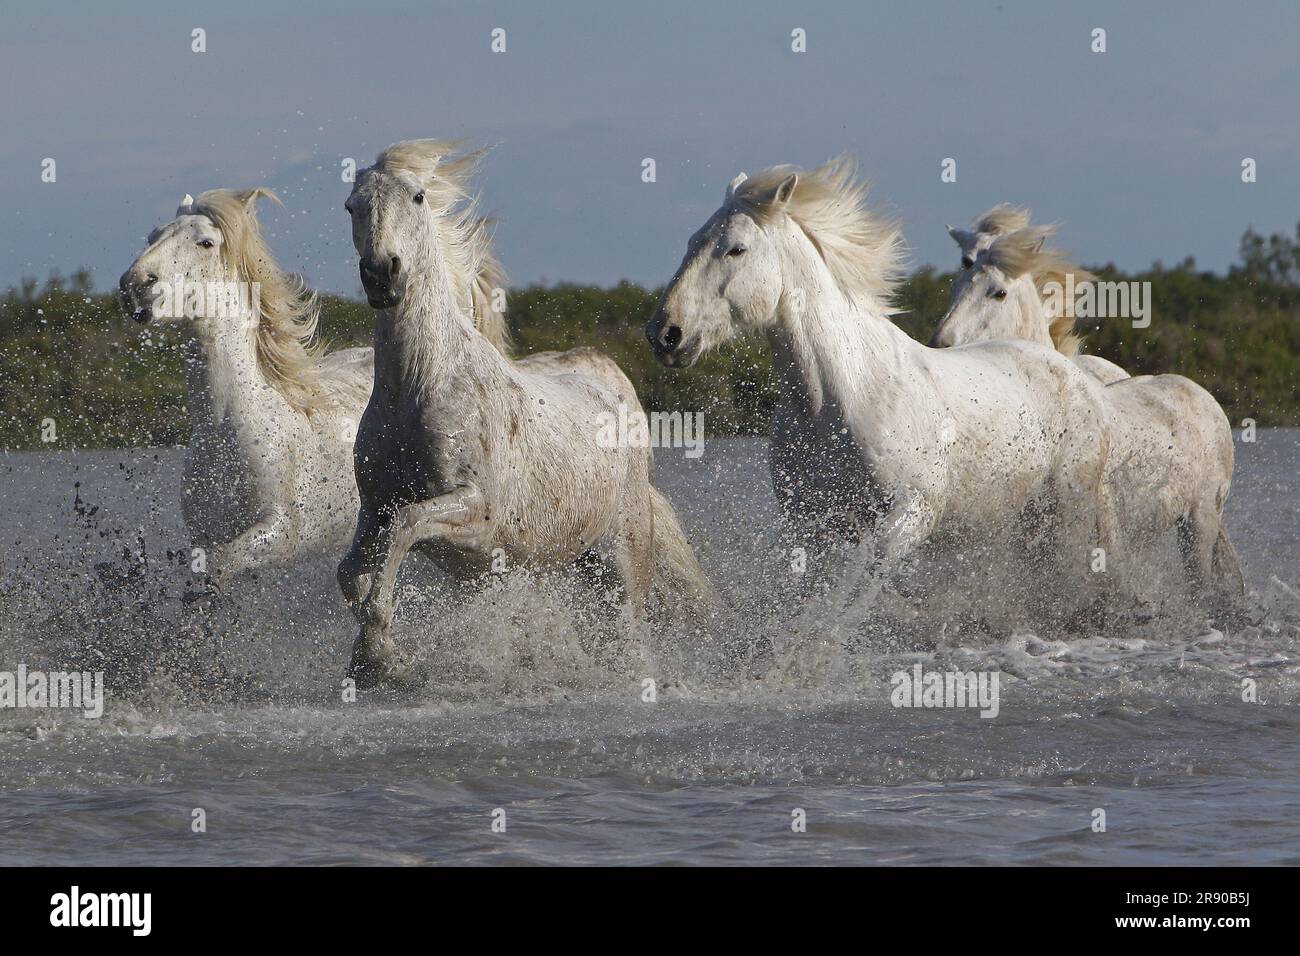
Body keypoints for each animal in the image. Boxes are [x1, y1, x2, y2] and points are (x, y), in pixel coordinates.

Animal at [338, 139, 717, 686]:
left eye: (417, 196)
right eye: (352, 206)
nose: (381, 274)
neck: (417, 385)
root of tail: (617, 386)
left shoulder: (475, 515)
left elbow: (405, 529)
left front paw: (381, 658)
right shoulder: (375, 510)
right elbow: (353, 573)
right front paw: (376, 656)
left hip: (622, 562)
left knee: (630, 636)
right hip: (580, 564)